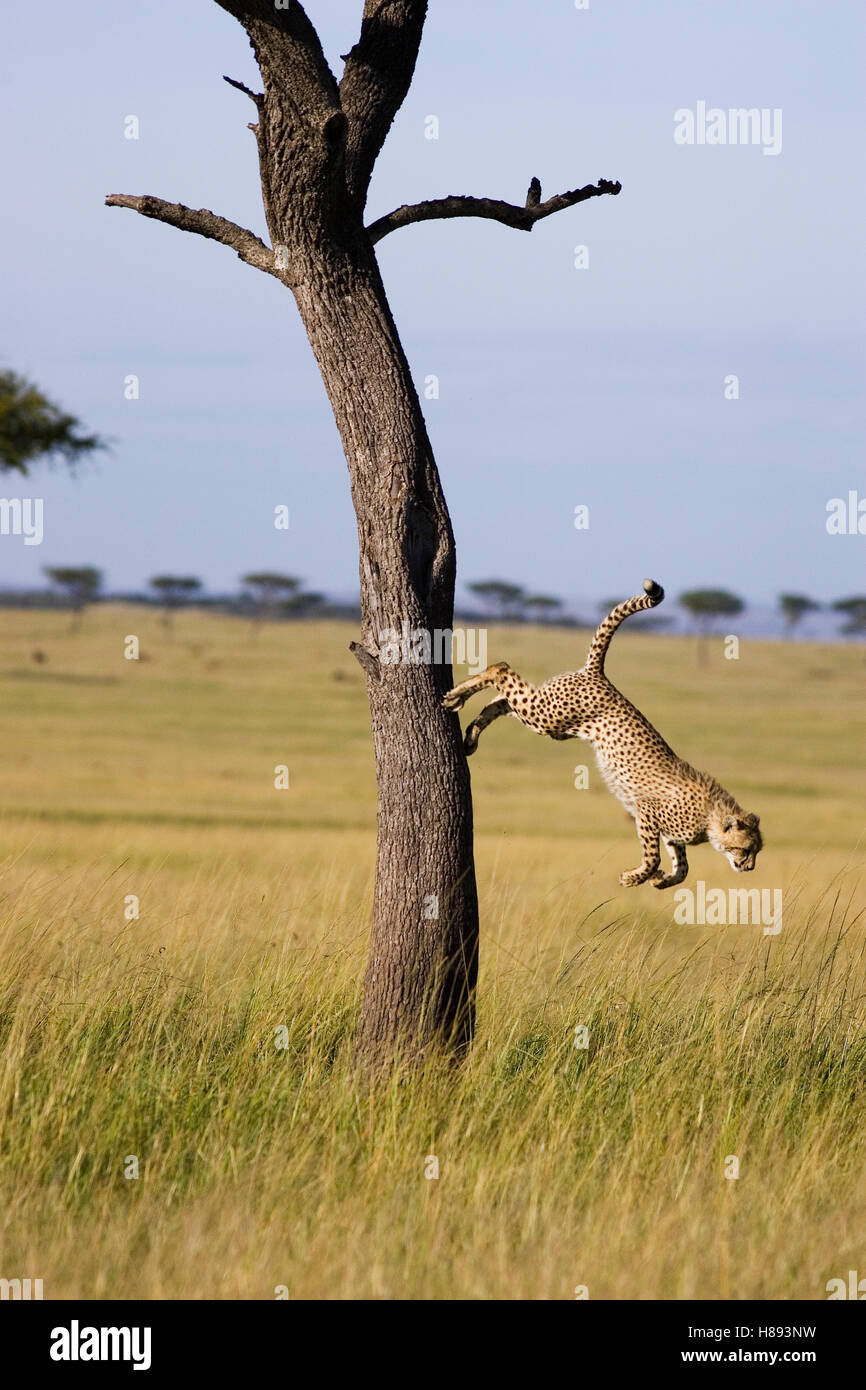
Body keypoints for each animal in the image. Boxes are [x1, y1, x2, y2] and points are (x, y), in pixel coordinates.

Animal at [443, 579, 762, 889]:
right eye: (746, 849)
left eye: (757, 851)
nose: (749, 868)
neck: (711, 818)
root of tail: (599, 675)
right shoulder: (646, 810)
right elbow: (654, 855)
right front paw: (635, 877)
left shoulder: (669, 831)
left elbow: (682, 866)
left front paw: (661, 881)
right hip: (548, 716)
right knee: (501, 669)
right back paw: (457, 697)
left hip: (547, 719)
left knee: (500, 702)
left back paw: (467, 727)